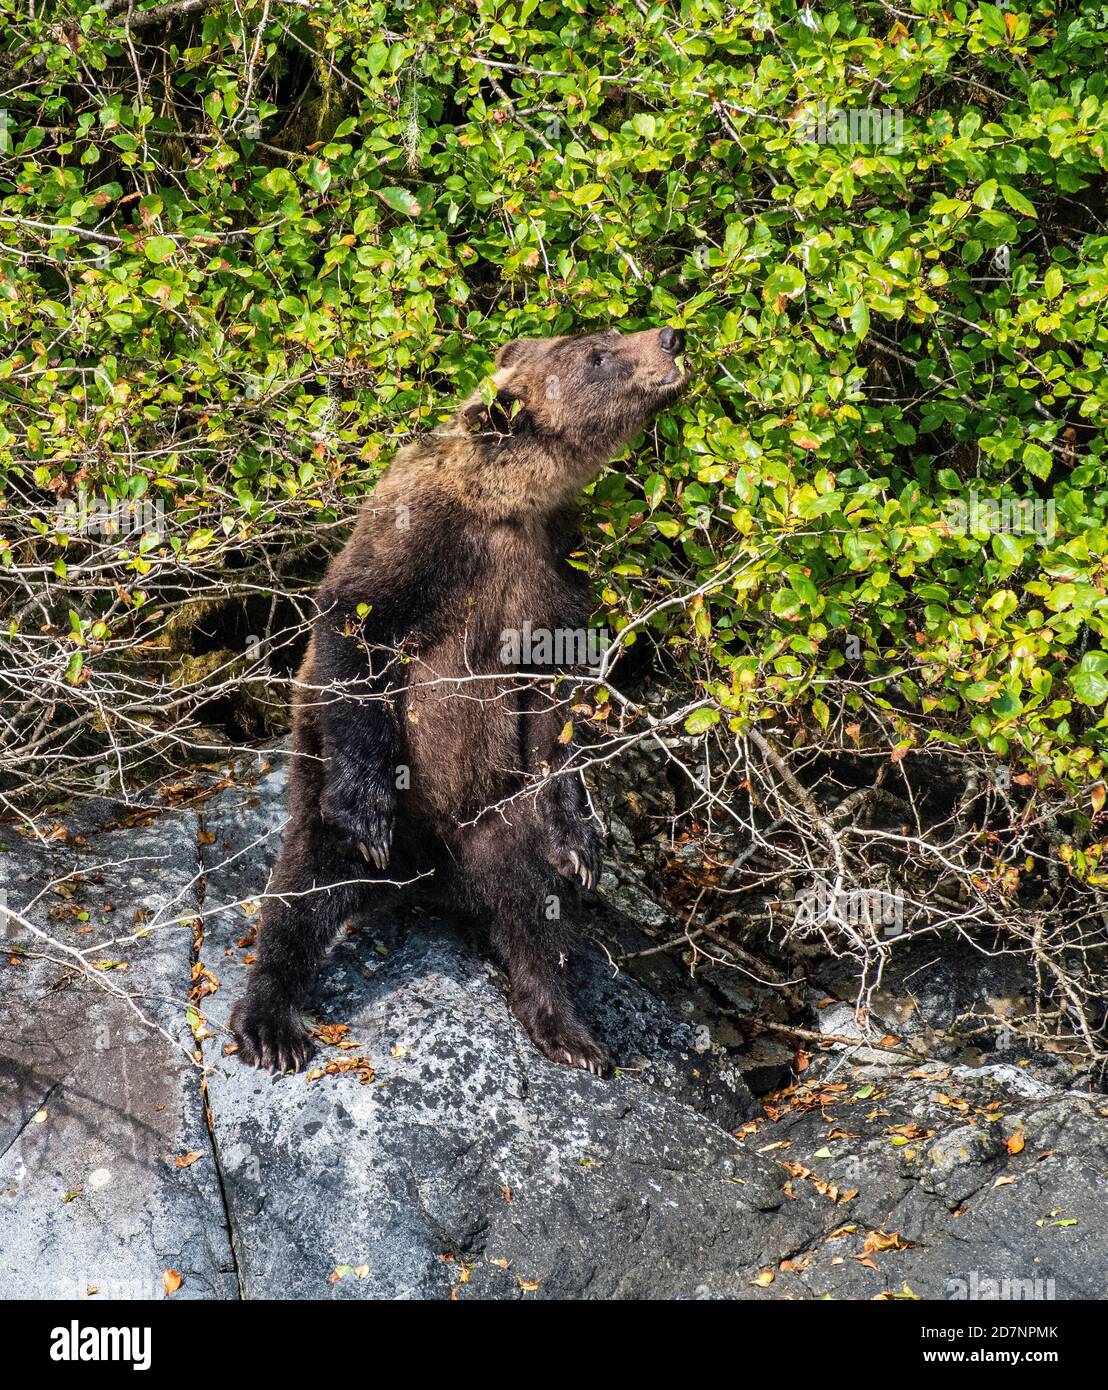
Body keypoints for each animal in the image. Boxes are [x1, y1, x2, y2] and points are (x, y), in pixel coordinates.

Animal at [230, 325, 688, 1075]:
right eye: (598, 352)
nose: (671, 335)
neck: (508, 504)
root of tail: (428, 875)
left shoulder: (553, 568)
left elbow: (559, 701)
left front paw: (582, 840)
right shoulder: (419, 536)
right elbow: (356, 624)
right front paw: (367, 807)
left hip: (497, 815)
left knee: (533, 904)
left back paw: (569, 1028)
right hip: (335, 797)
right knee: (305, 884)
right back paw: (272, 1020)